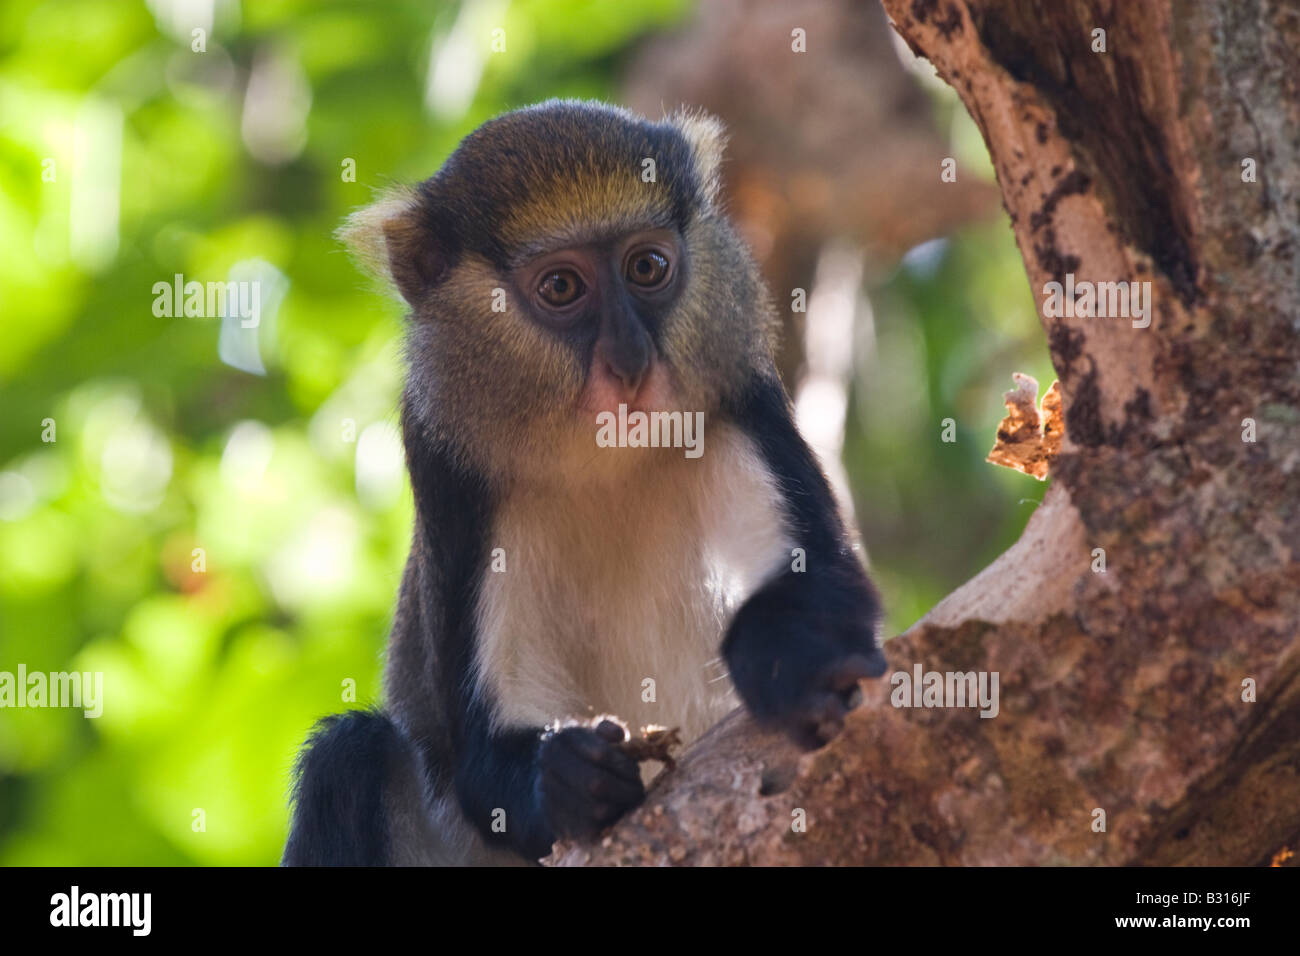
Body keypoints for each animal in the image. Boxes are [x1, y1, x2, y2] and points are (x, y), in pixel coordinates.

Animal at [282, 99, 887, 866]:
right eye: (562, 287)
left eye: (648, 267)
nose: (631, 362)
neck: (605, 464)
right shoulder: (452, 477)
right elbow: (485, 765)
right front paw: (567, 776)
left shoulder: (742, 401)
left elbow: (830, 584)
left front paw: (791, 658)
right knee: (348, 754)